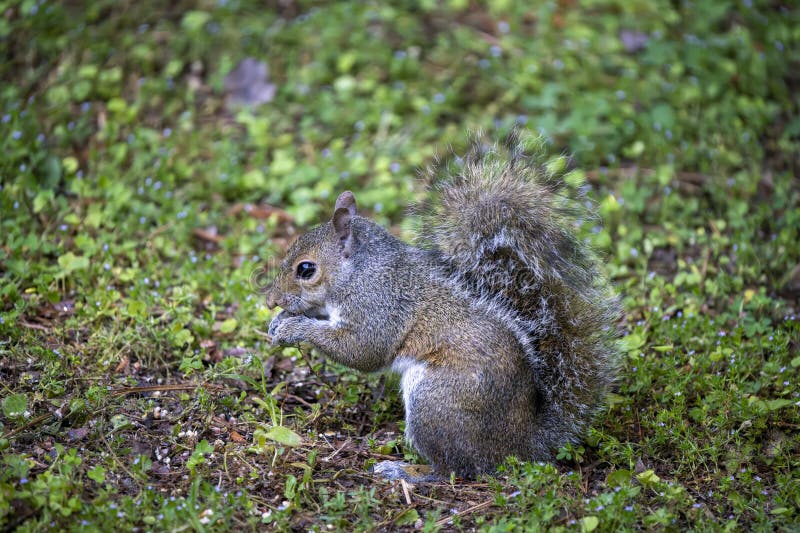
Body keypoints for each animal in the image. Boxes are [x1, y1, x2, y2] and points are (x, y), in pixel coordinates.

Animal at [265, 131, 621, 480]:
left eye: (306, 269)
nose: (270, 301)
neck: (360, 269)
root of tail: (522, 443)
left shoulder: (379, 304)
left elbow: (363, 350)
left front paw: (295, 327)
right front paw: (280, 320)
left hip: (435, 401)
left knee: (455, 468)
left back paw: (405, 471)